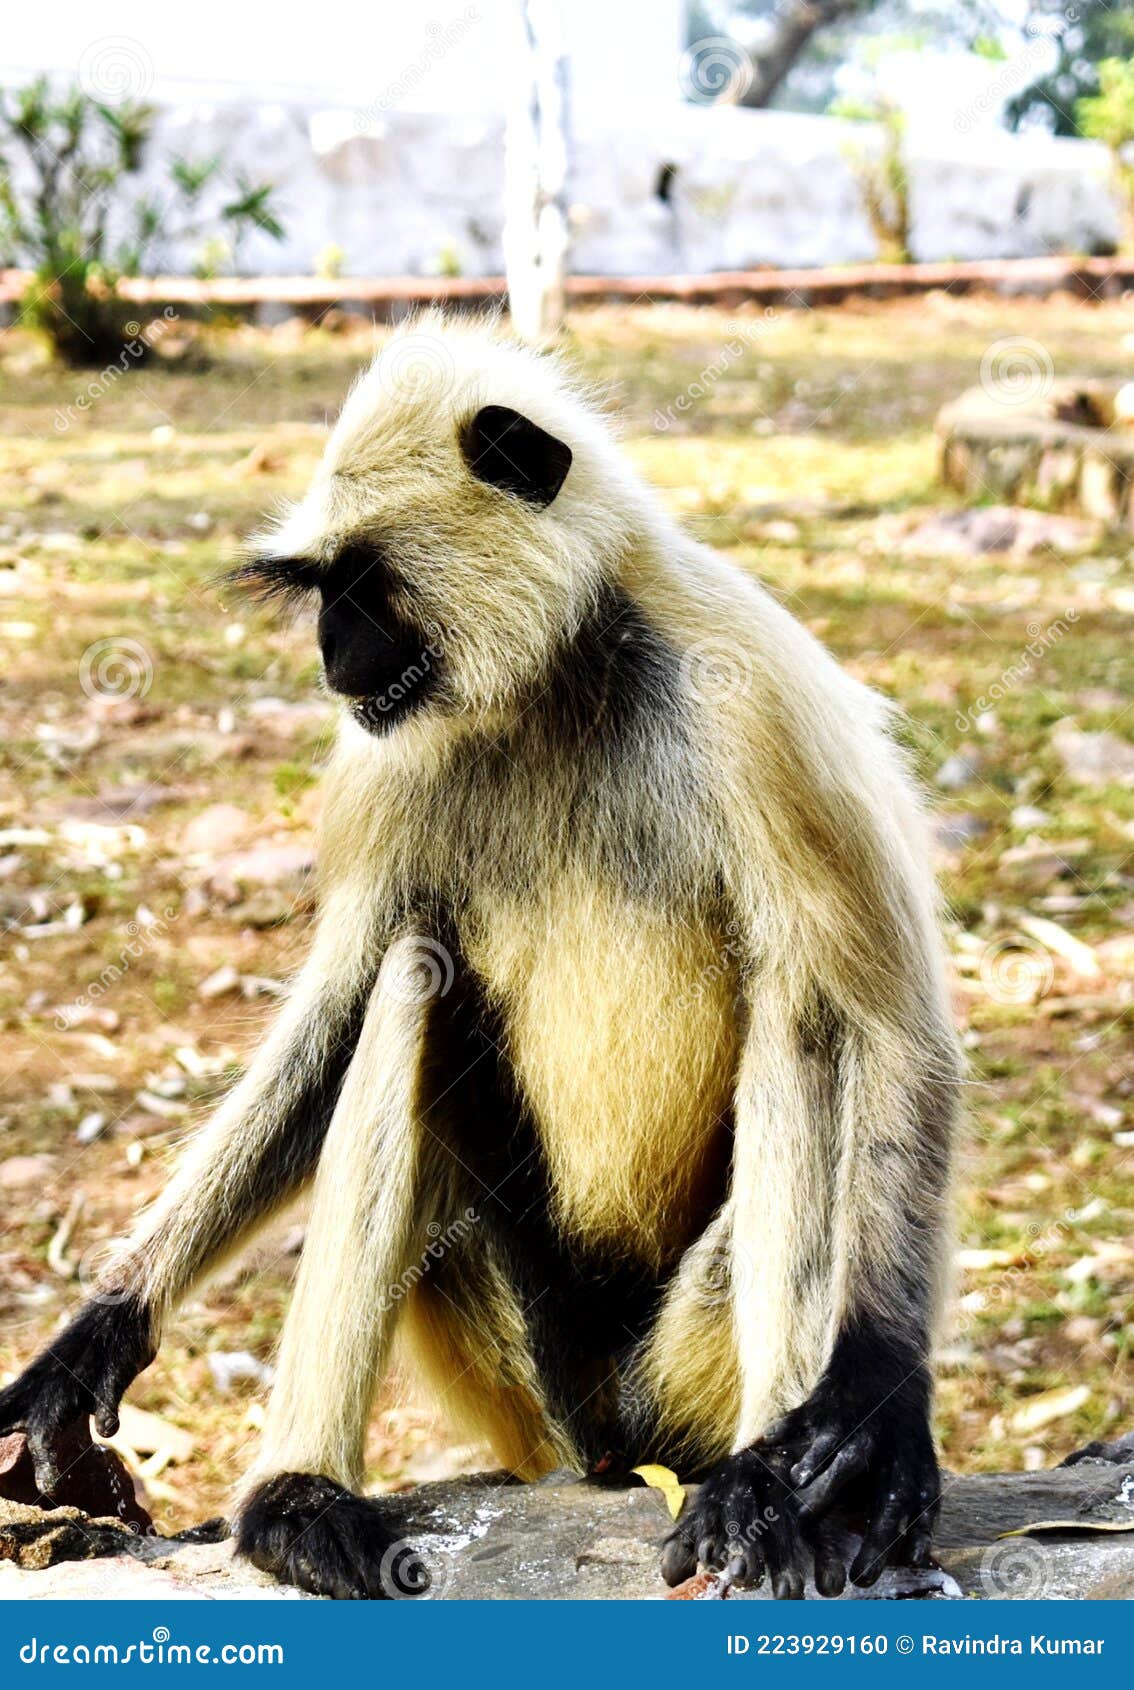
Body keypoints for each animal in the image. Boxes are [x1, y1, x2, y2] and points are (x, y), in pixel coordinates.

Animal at [0, 314, 961, 1600]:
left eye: (363, 584)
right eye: (322, 591)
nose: (331, 652)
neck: (558, 682)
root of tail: (609, 1447)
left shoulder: (756, 699)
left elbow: (889, 1026)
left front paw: (877, 1404)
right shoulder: (382, 757)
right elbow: (343, 1010)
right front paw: (98, 1329)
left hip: (675, 1375)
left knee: (804, 1024)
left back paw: (760, 1487)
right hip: (525, 1381)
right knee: (412, 978)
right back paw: (298, 1499)